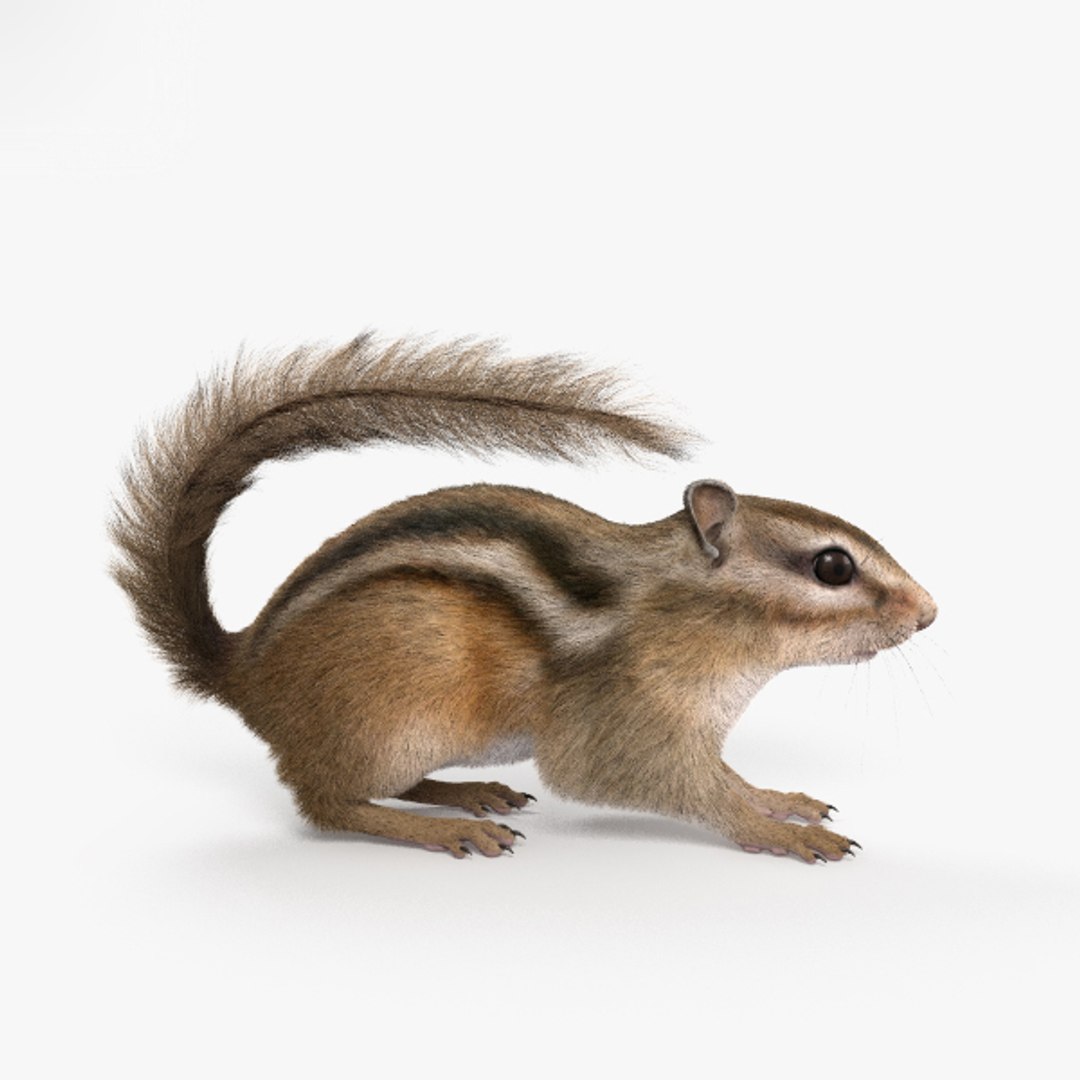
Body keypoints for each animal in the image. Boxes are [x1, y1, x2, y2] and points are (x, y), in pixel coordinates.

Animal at [110, 334, 937, 862]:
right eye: (832, 567)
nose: (930, 612)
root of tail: (242, 668)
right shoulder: (624, 719)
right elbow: (670, 786)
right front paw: (783, 833)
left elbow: (728, 778)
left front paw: (781, 798)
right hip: (387, 715)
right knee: (329, 804)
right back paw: (441, 828)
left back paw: (470, 794)